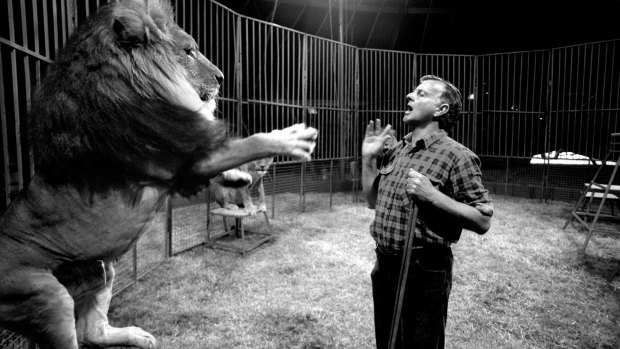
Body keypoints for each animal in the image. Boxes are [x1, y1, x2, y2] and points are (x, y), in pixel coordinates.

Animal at [0, 0, 318, 348]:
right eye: (189, 51)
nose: (221, 77)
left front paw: (237, 179)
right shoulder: (176, 156)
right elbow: (250, 142)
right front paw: (289, 138)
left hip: (103, 268)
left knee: (92, 331)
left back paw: (137, 336)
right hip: (45, 296)